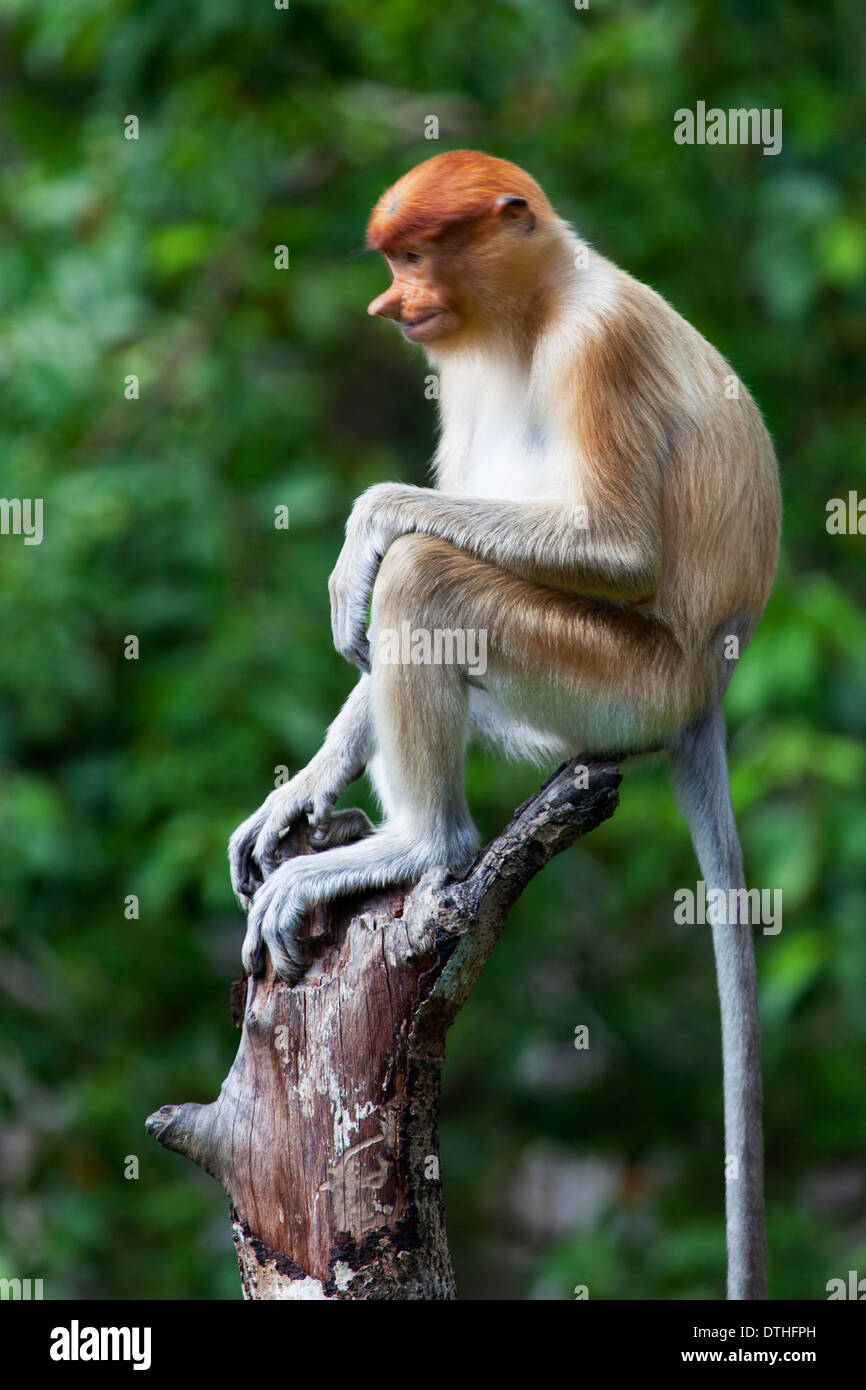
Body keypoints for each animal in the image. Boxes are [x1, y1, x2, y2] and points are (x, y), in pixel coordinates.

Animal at [228, 151, 780, 1300]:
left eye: (411, 254)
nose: (390, 306)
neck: (535, 309)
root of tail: (703, 692)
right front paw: (298, 793)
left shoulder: (594, 344)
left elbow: (611, 546)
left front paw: (364, 527)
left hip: (614, 684)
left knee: (428, 576)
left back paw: (420, 846)